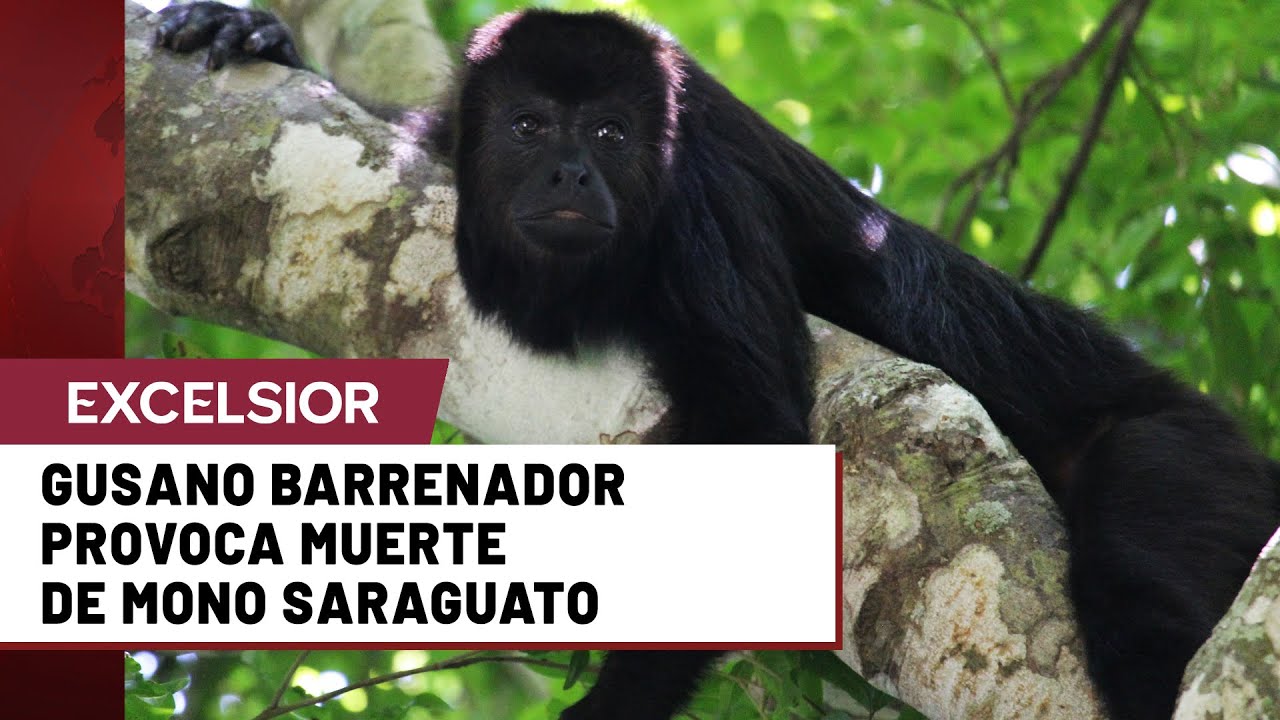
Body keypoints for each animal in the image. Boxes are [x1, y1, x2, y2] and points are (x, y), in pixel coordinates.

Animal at [154, 4, 1280, 719]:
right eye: (528, 126)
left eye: (610, 133)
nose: (570, 171)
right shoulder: (446, 147)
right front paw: (250, 32)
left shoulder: (704, 203)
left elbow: (754, 435)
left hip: (1185, 456)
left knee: (1138, 595)